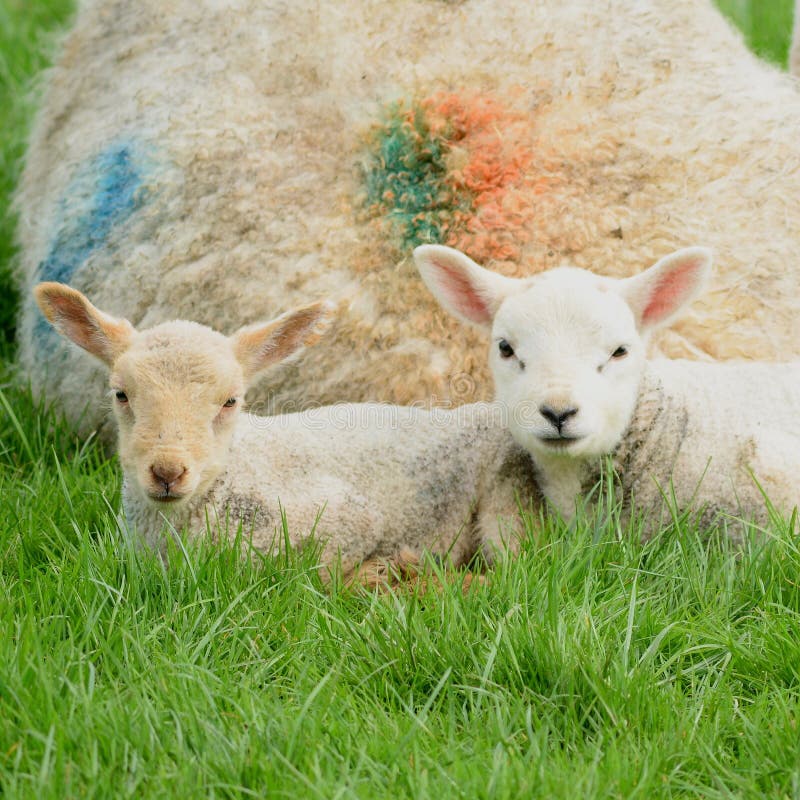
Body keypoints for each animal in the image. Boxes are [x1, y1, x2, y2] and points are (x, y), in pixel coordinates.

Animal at [32, 281, 541, 576]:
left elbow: (320, 573)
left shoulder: (350, 519)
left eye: (231, 401)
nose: (167, 472)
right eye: (120, 394)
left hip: (508, 498)